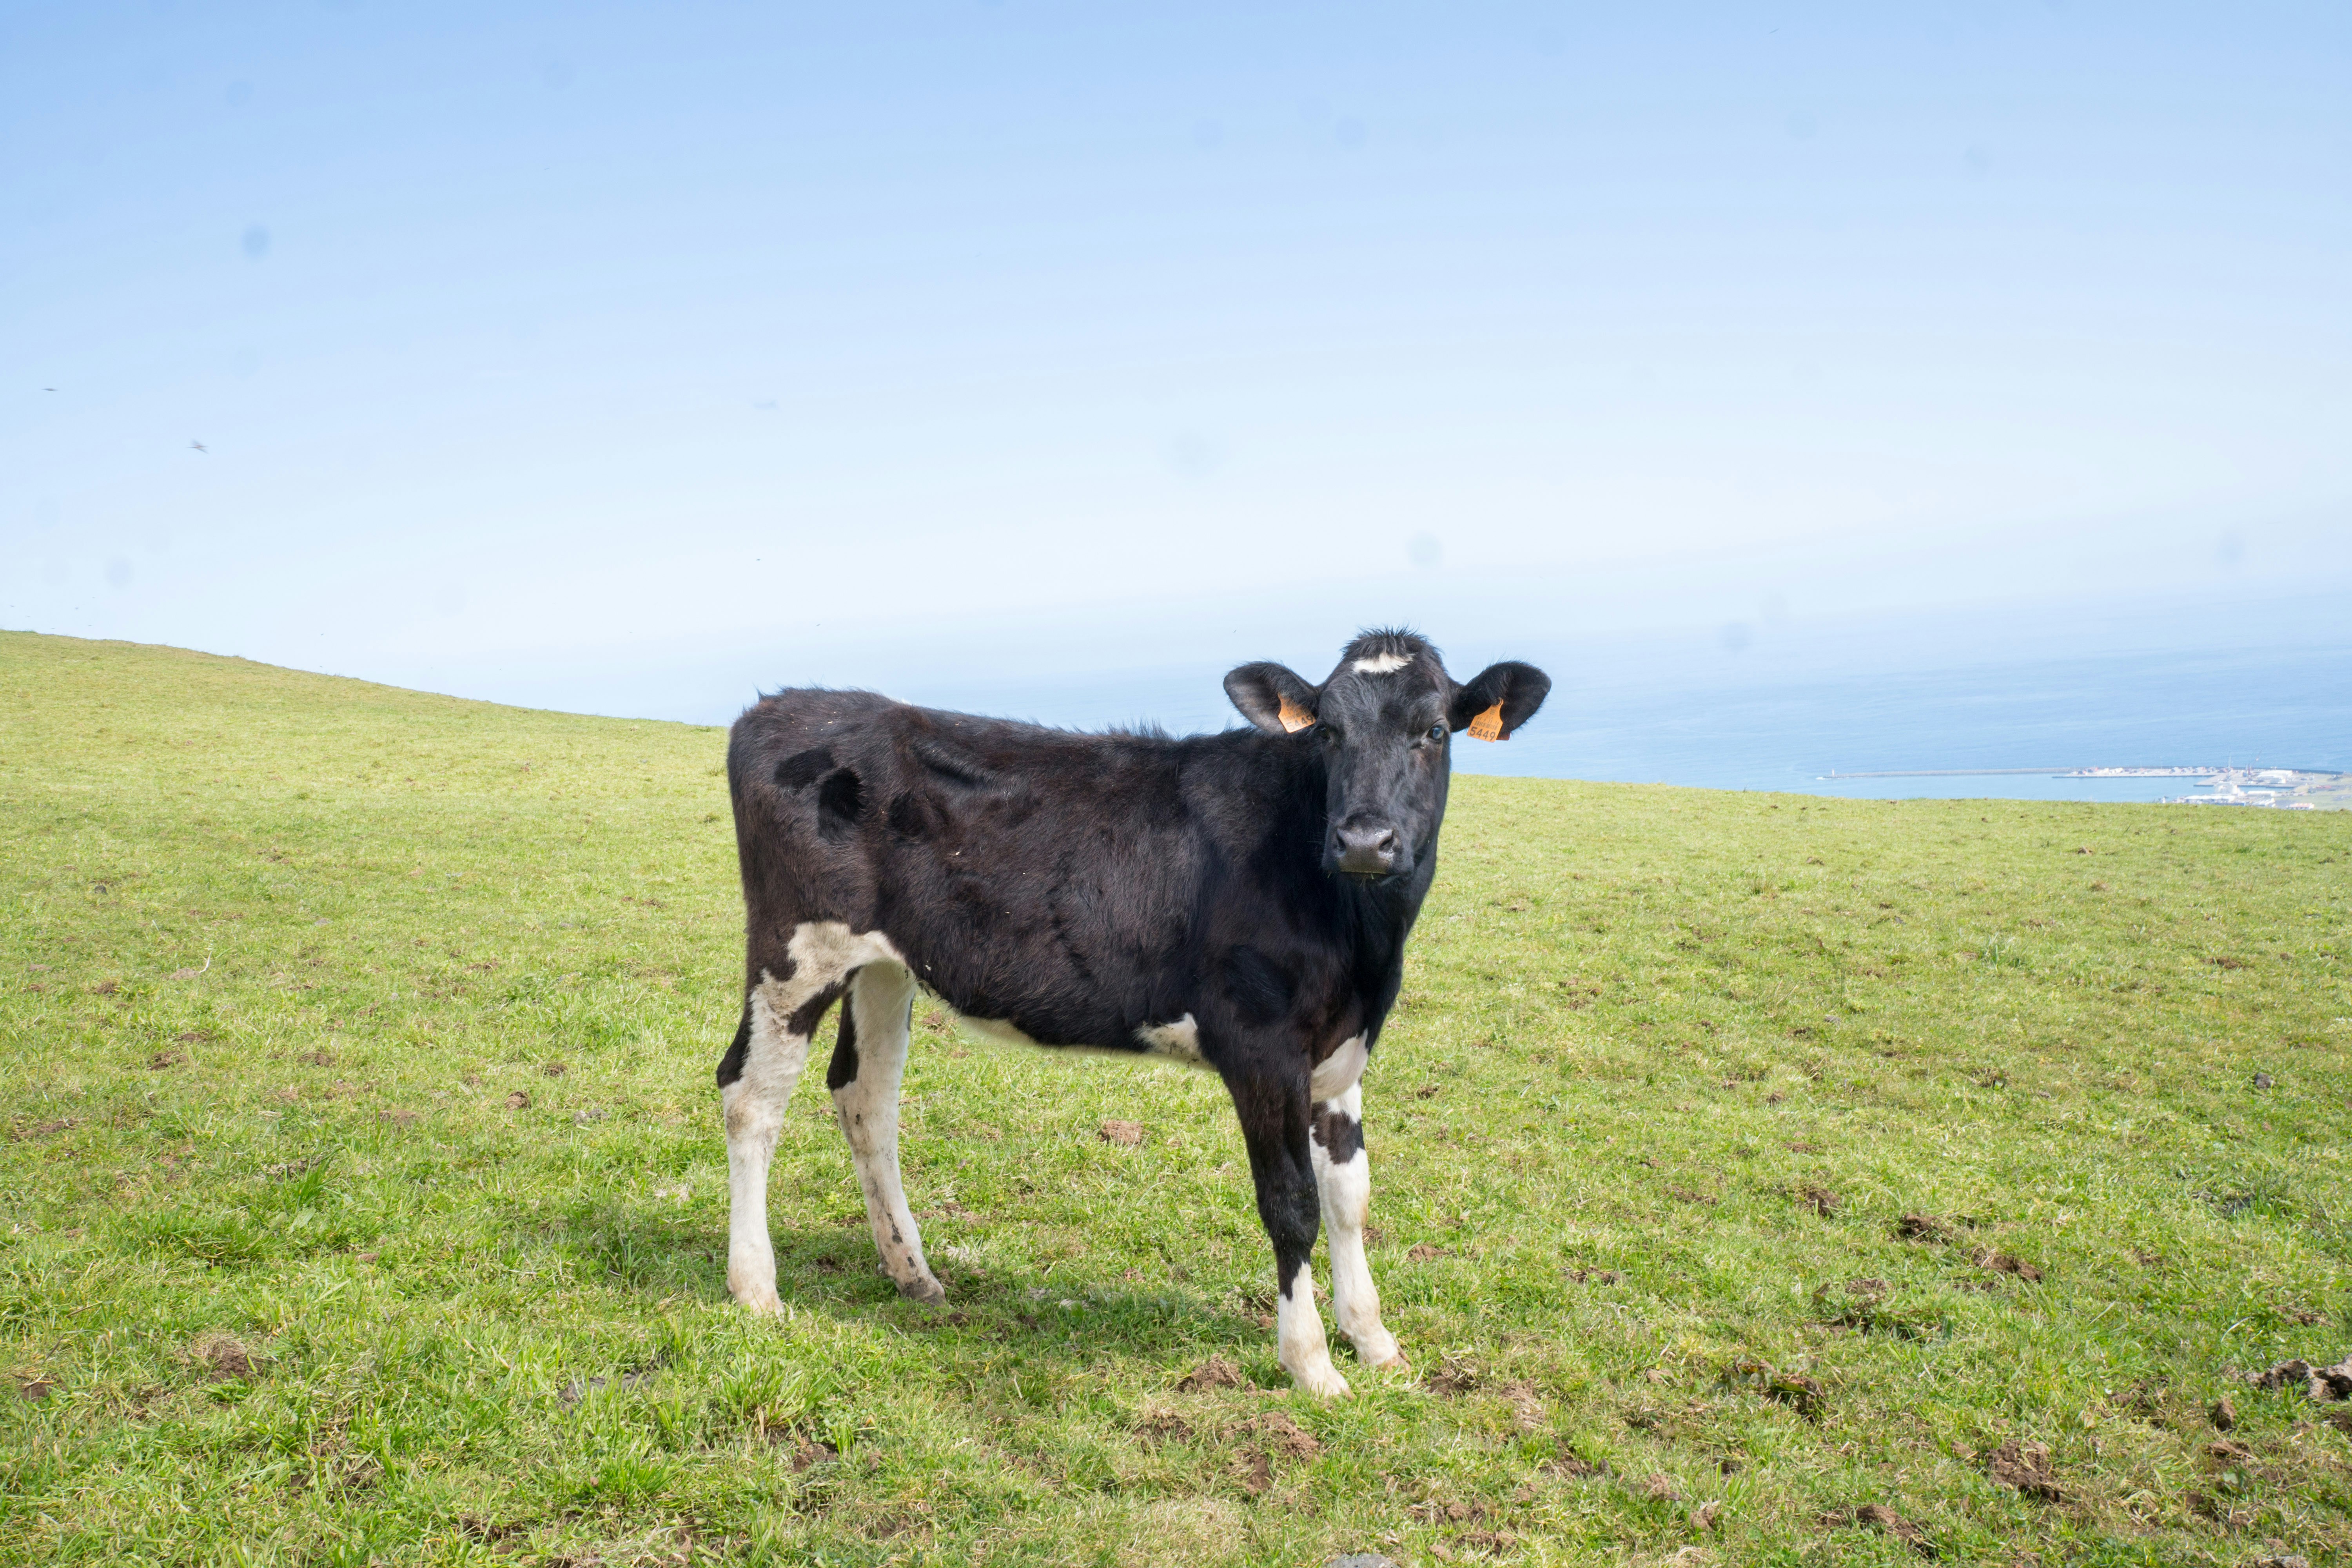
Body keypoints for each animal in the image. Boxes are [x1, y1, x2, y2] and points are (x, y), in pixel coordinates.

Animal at [714, 629, 1550, 1396]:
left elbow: (1350, 1196)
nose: (1365, 841)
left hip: (885, 965)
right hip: (797, 950)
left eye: (1435, 732)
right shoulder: (1261, 1046)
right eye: (1328, 733)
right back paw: (756, 1288)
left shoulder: (1341, 1050)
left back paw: (912, 1271)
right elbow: (1292, 1203)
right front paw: (1312, 1364)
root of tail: (783, 705)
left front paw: (1373, 1339)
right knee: (750, 1097)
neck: (1362, 944)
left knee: (866, 1098)